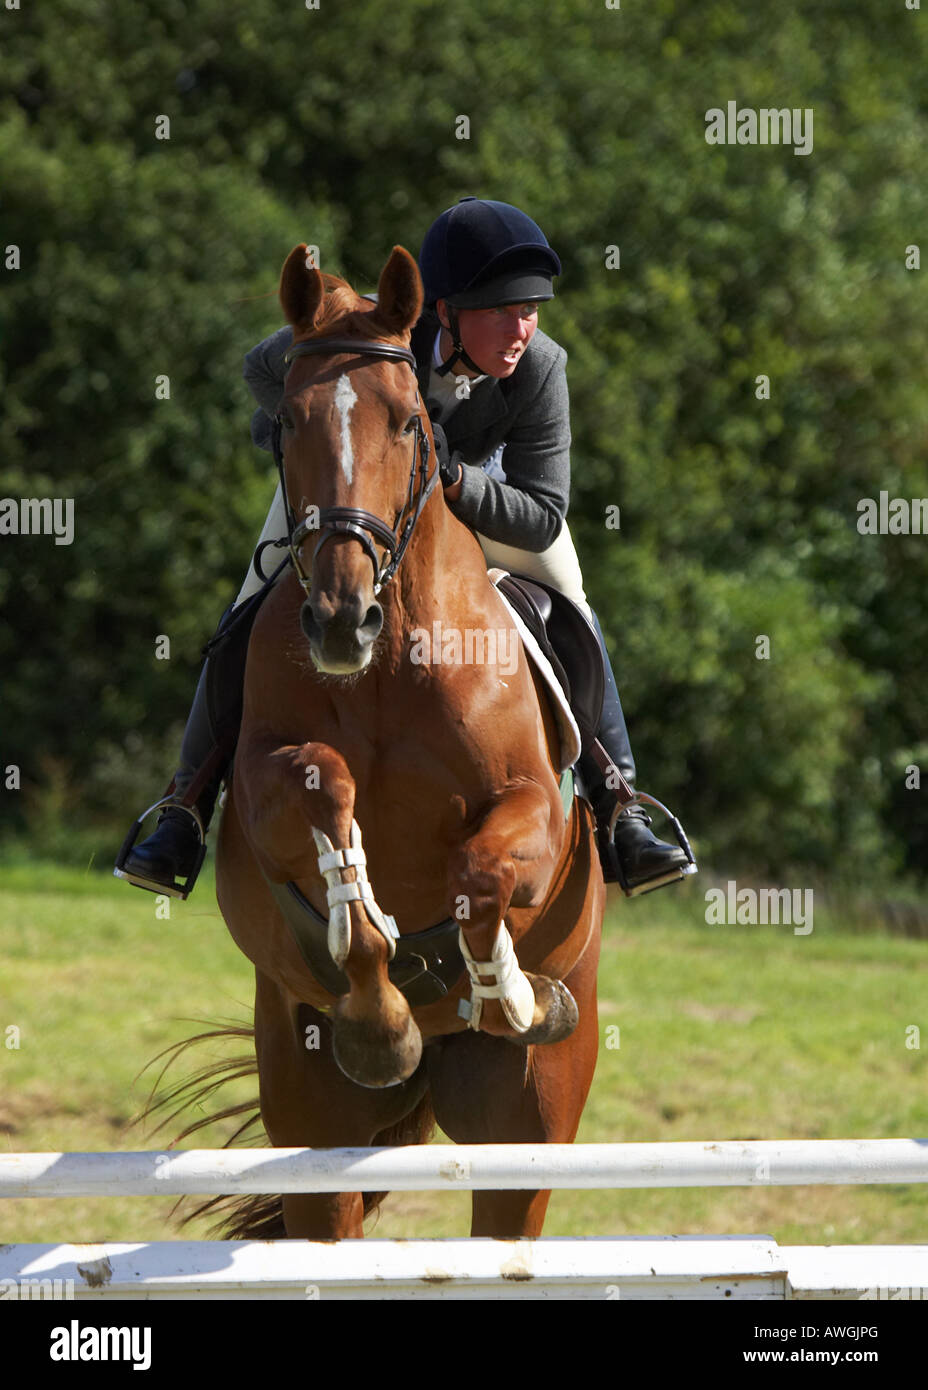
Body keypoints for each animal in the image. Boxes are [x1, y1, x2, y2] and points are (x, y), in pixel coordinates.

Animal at [214, 243, 605, 1239]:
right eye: (289, 423)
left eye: (408, 424)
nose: (339, 620)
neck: (388, 664)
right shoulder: (264, 782)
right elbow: (323, 788)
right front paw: (380, 1015)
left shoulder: (534, 806)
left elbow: (482, 871)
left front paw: (507, 993)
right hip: (311, 1117)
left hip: (529, 1131)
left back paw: (520, 1004)